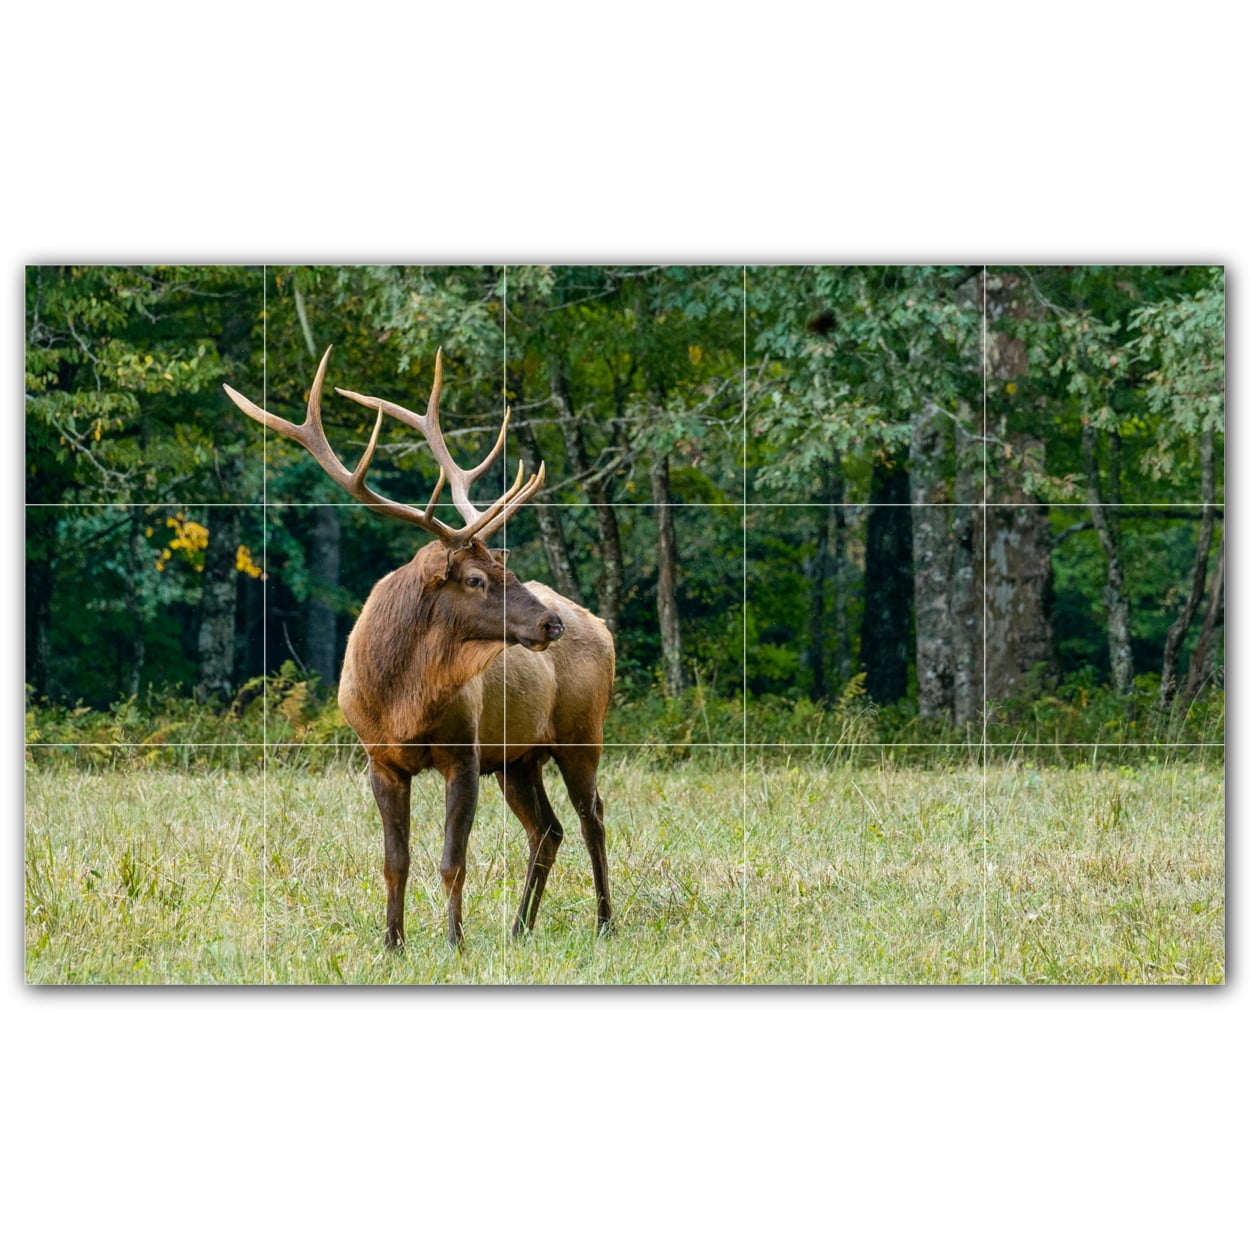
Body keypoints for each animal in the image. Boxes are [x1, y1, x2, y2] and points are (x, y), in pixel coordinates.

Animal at [223, 347, 614, 948]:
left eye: (506, 568)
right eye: (476, 578)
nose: (551, 625)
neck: (403, 701)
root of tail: (603, 627)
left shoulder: (465, 753)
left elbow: (453, 860)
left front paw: (454, 942)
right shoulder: (380, 759)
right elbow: (395, 861)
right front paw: (392, 943)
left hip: (580, 733)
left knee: (592, 816)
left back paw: (604, 923)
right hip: (518, 757)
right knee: (548, 830)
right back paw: (519, 928)